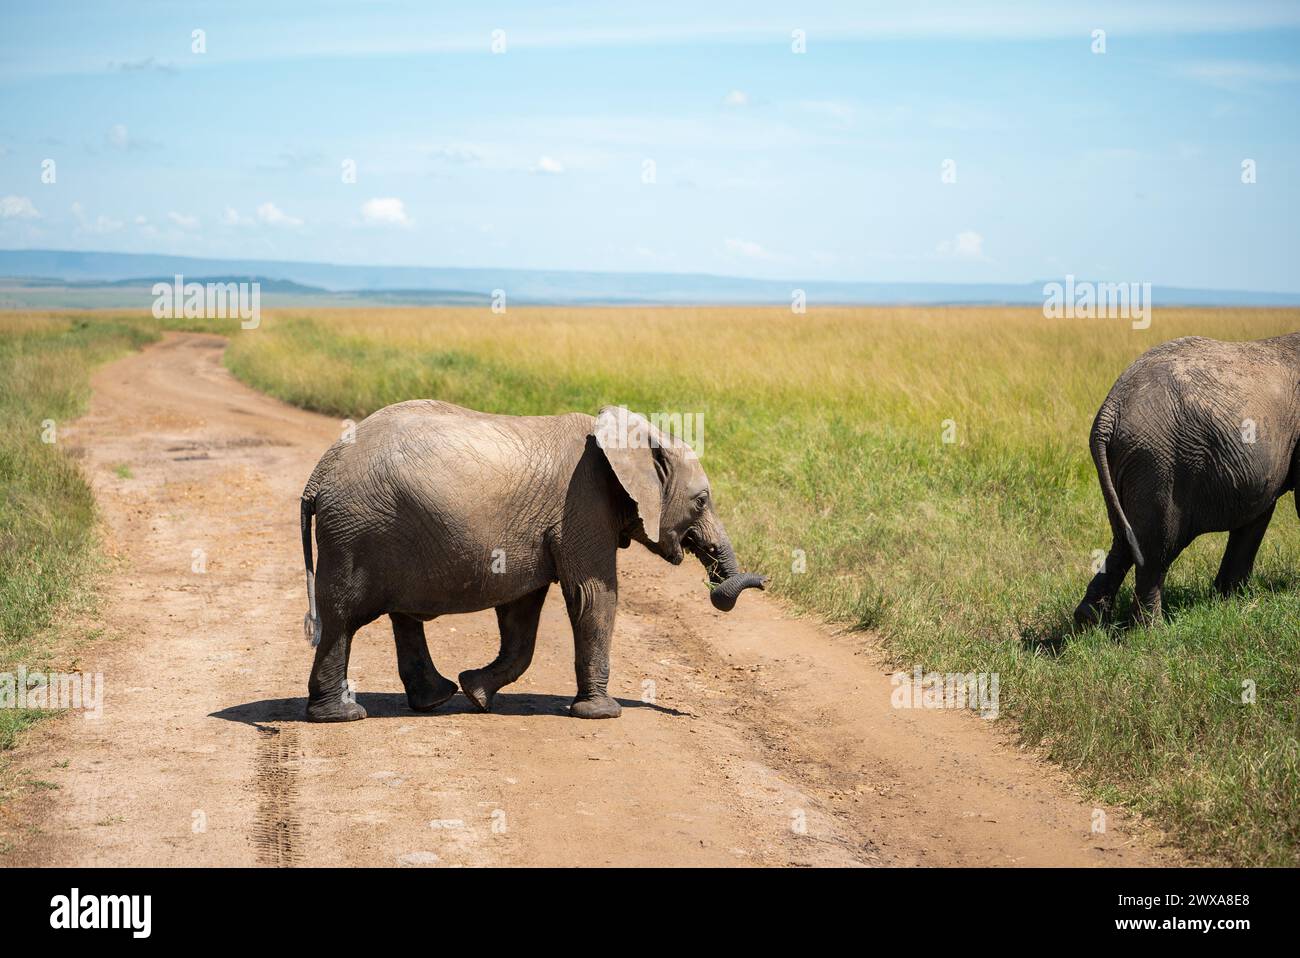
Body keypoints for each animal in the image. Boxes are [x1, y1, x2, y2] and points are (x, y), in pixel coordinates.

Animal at [299, 402, 767, 722]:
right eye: (701, 501)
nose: (762, 581)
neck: (630, 437)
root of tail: (317, 476)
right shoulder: (583, 504)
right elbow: (593, 595)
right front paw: (602, 714)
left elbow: (522, 615)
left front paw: (477, 693)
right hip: (355, 533)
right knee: (341, 619)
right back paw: (342, 716)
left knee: (397, 617)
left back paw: (435, 699)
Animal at [1074, 333, 1300, 626]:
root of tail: (1109, 413)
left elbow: (1256, 514)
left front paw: (1229, 599)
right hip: (1159, 465)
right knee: (1154, 549)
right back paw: (1151, 629)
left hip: (1126, 468)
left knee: (1126, 540)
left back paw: (1088, 621)